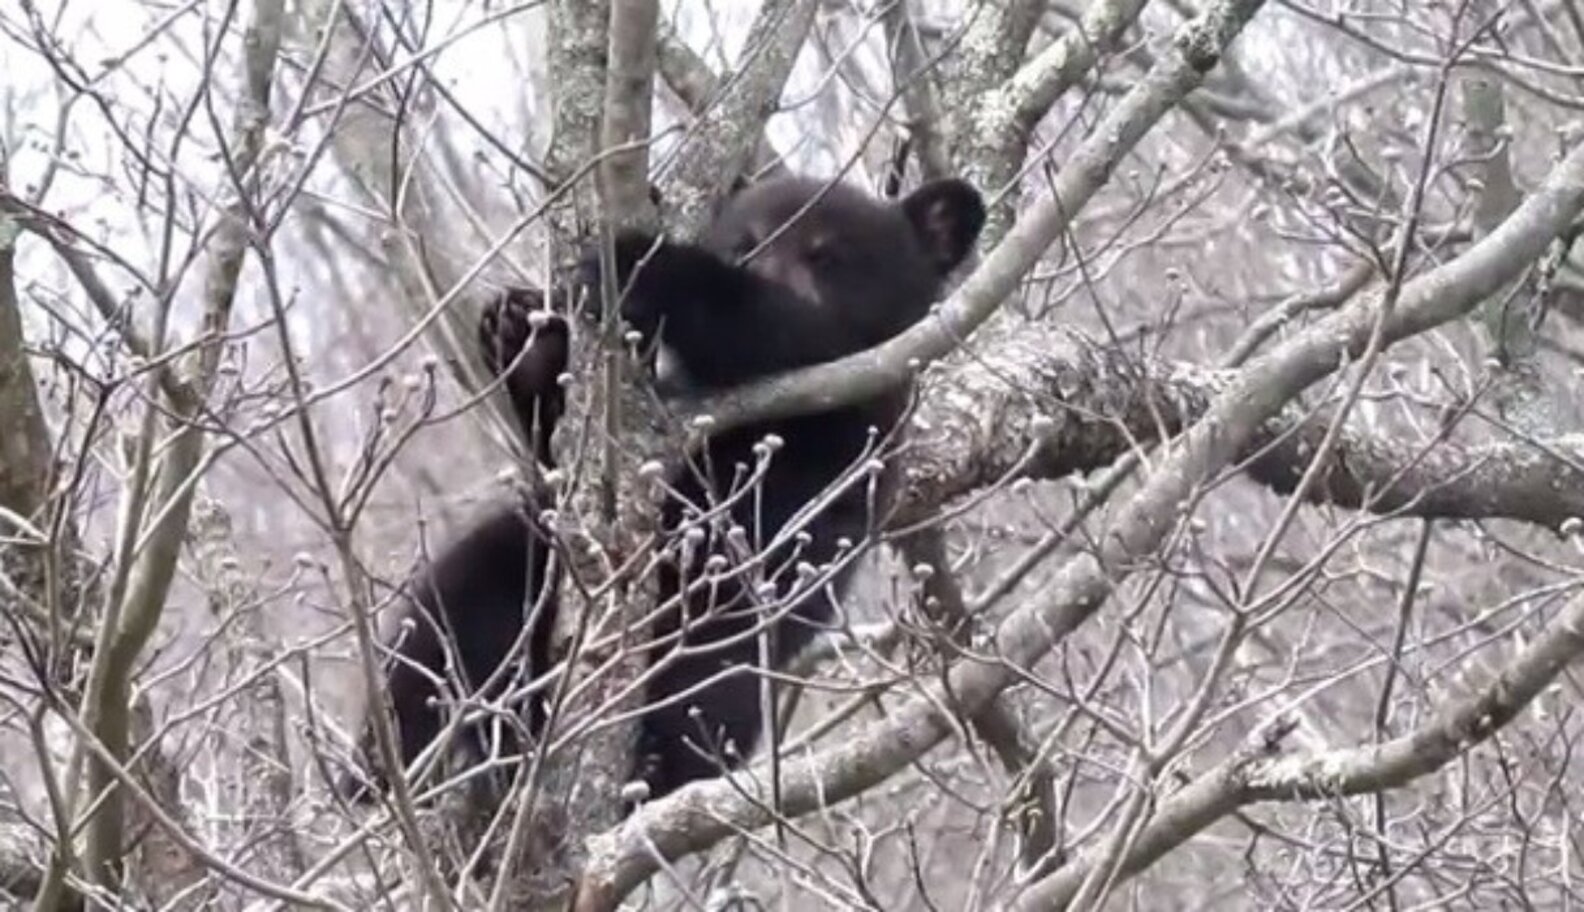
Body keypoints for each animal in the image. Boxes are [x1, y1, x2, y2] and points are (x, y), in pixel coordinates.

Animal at [343, 173, 985, 805]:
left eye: (828, 255)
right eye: (743, 242)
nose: (760, 264)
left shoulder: (851, 395)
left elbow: (788, 330)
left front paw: (643, 268)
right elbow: (560, 453)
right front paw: (523, 337)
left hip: (728, 631)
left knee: (708, 696)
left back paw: (651, 767)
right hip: (522, 570)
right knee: (447, 614)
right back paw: (381, 765)